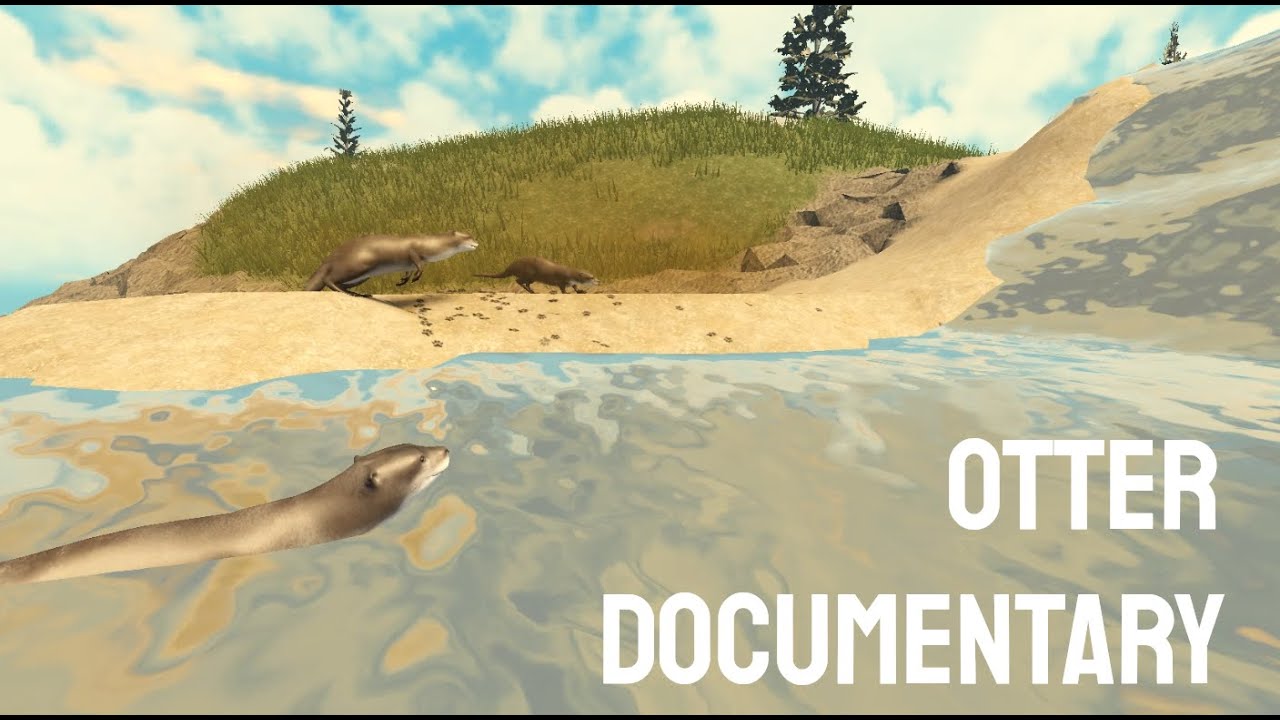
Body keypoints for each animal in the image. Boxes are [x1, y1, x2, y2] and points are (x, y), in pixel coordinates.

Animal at [304, 231, 479, 297]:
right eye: (468, 237)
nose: (477, 243)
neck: (429, 243)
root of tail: (327, 261)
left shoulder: (408, 265)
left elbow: (409, 270)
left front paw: (404, 281)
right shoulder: (414, 252)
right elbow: (419, 264)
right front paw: (415, 278)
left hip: (363, 277)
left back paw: (361, 294)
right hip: (358, 265)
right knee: (329, 279)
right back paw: (350, 293)